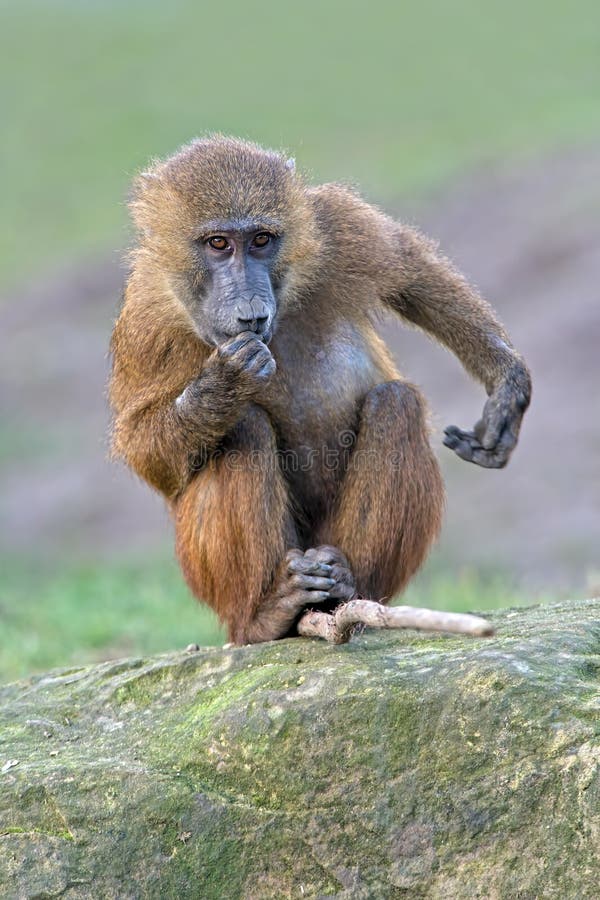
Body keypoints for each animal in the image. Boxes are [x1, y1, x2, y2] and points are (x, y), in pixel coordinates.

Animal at [109, 136, 531, 645]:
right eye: (218, 244)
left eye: (262, 240)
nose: (251, 310)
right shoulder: (144, 316)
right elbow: (145, 451)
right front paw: (223, 384)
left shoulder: (332, 224)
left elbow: (411, 268)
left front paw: (507, 385)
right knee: (245, 426)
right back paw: (267, 616)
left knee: (395, 404)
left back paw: (347, 590)